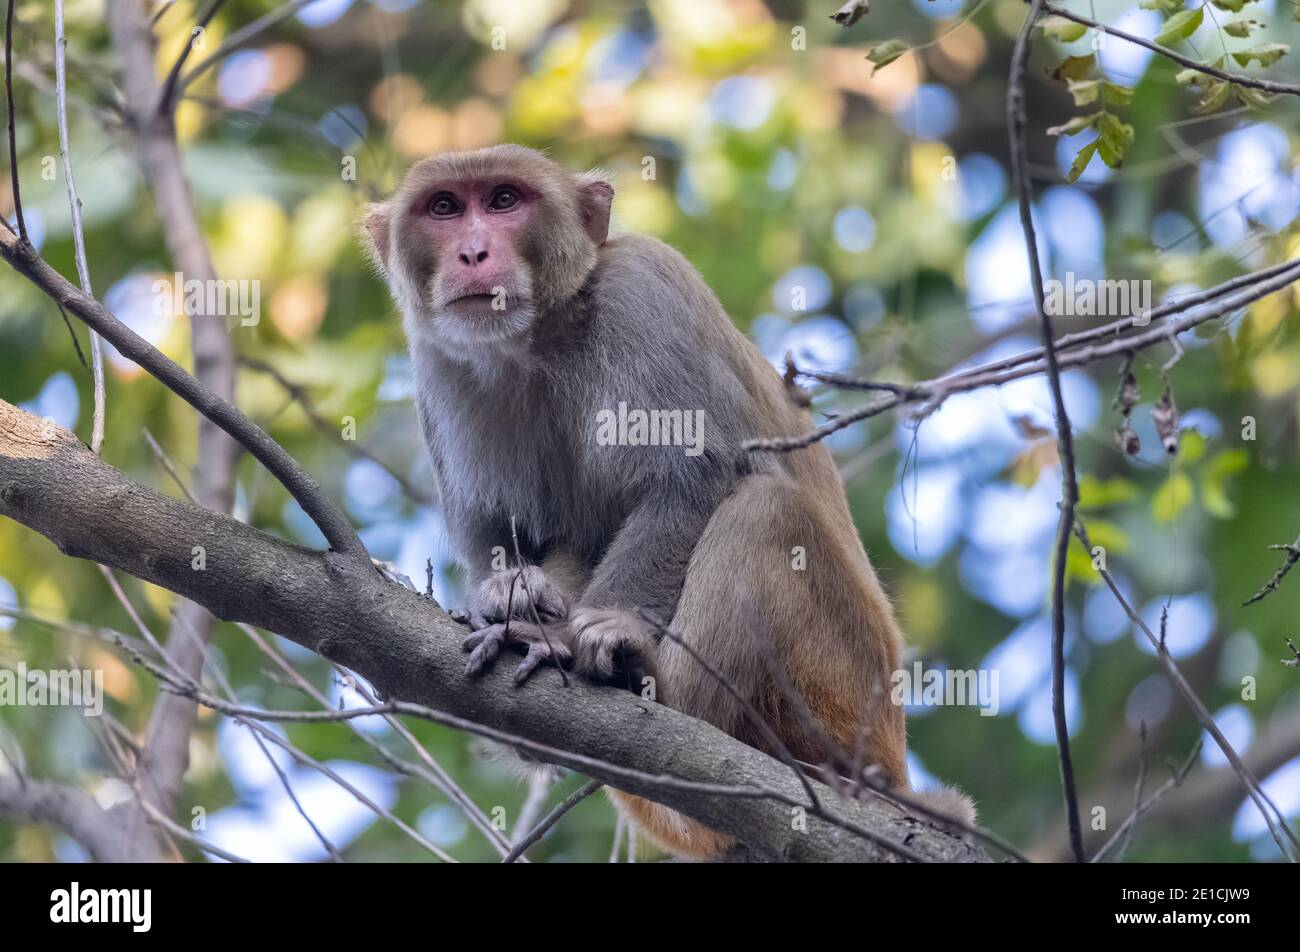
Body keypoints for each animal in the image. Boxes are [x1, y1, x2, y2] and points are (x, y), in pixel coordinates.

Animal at [362, 144, 974, 859]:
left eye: (504, 200)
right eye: (445, 208)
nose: (473, 252)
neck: (540, 339)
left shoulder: (645, 290)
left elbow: (693, 479)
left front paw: (586, 631)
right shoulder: (436, 362)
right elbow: (515, 537)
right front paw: (510, 596)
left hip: (847, 701)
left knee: (766, 509)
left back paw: (655, 681)